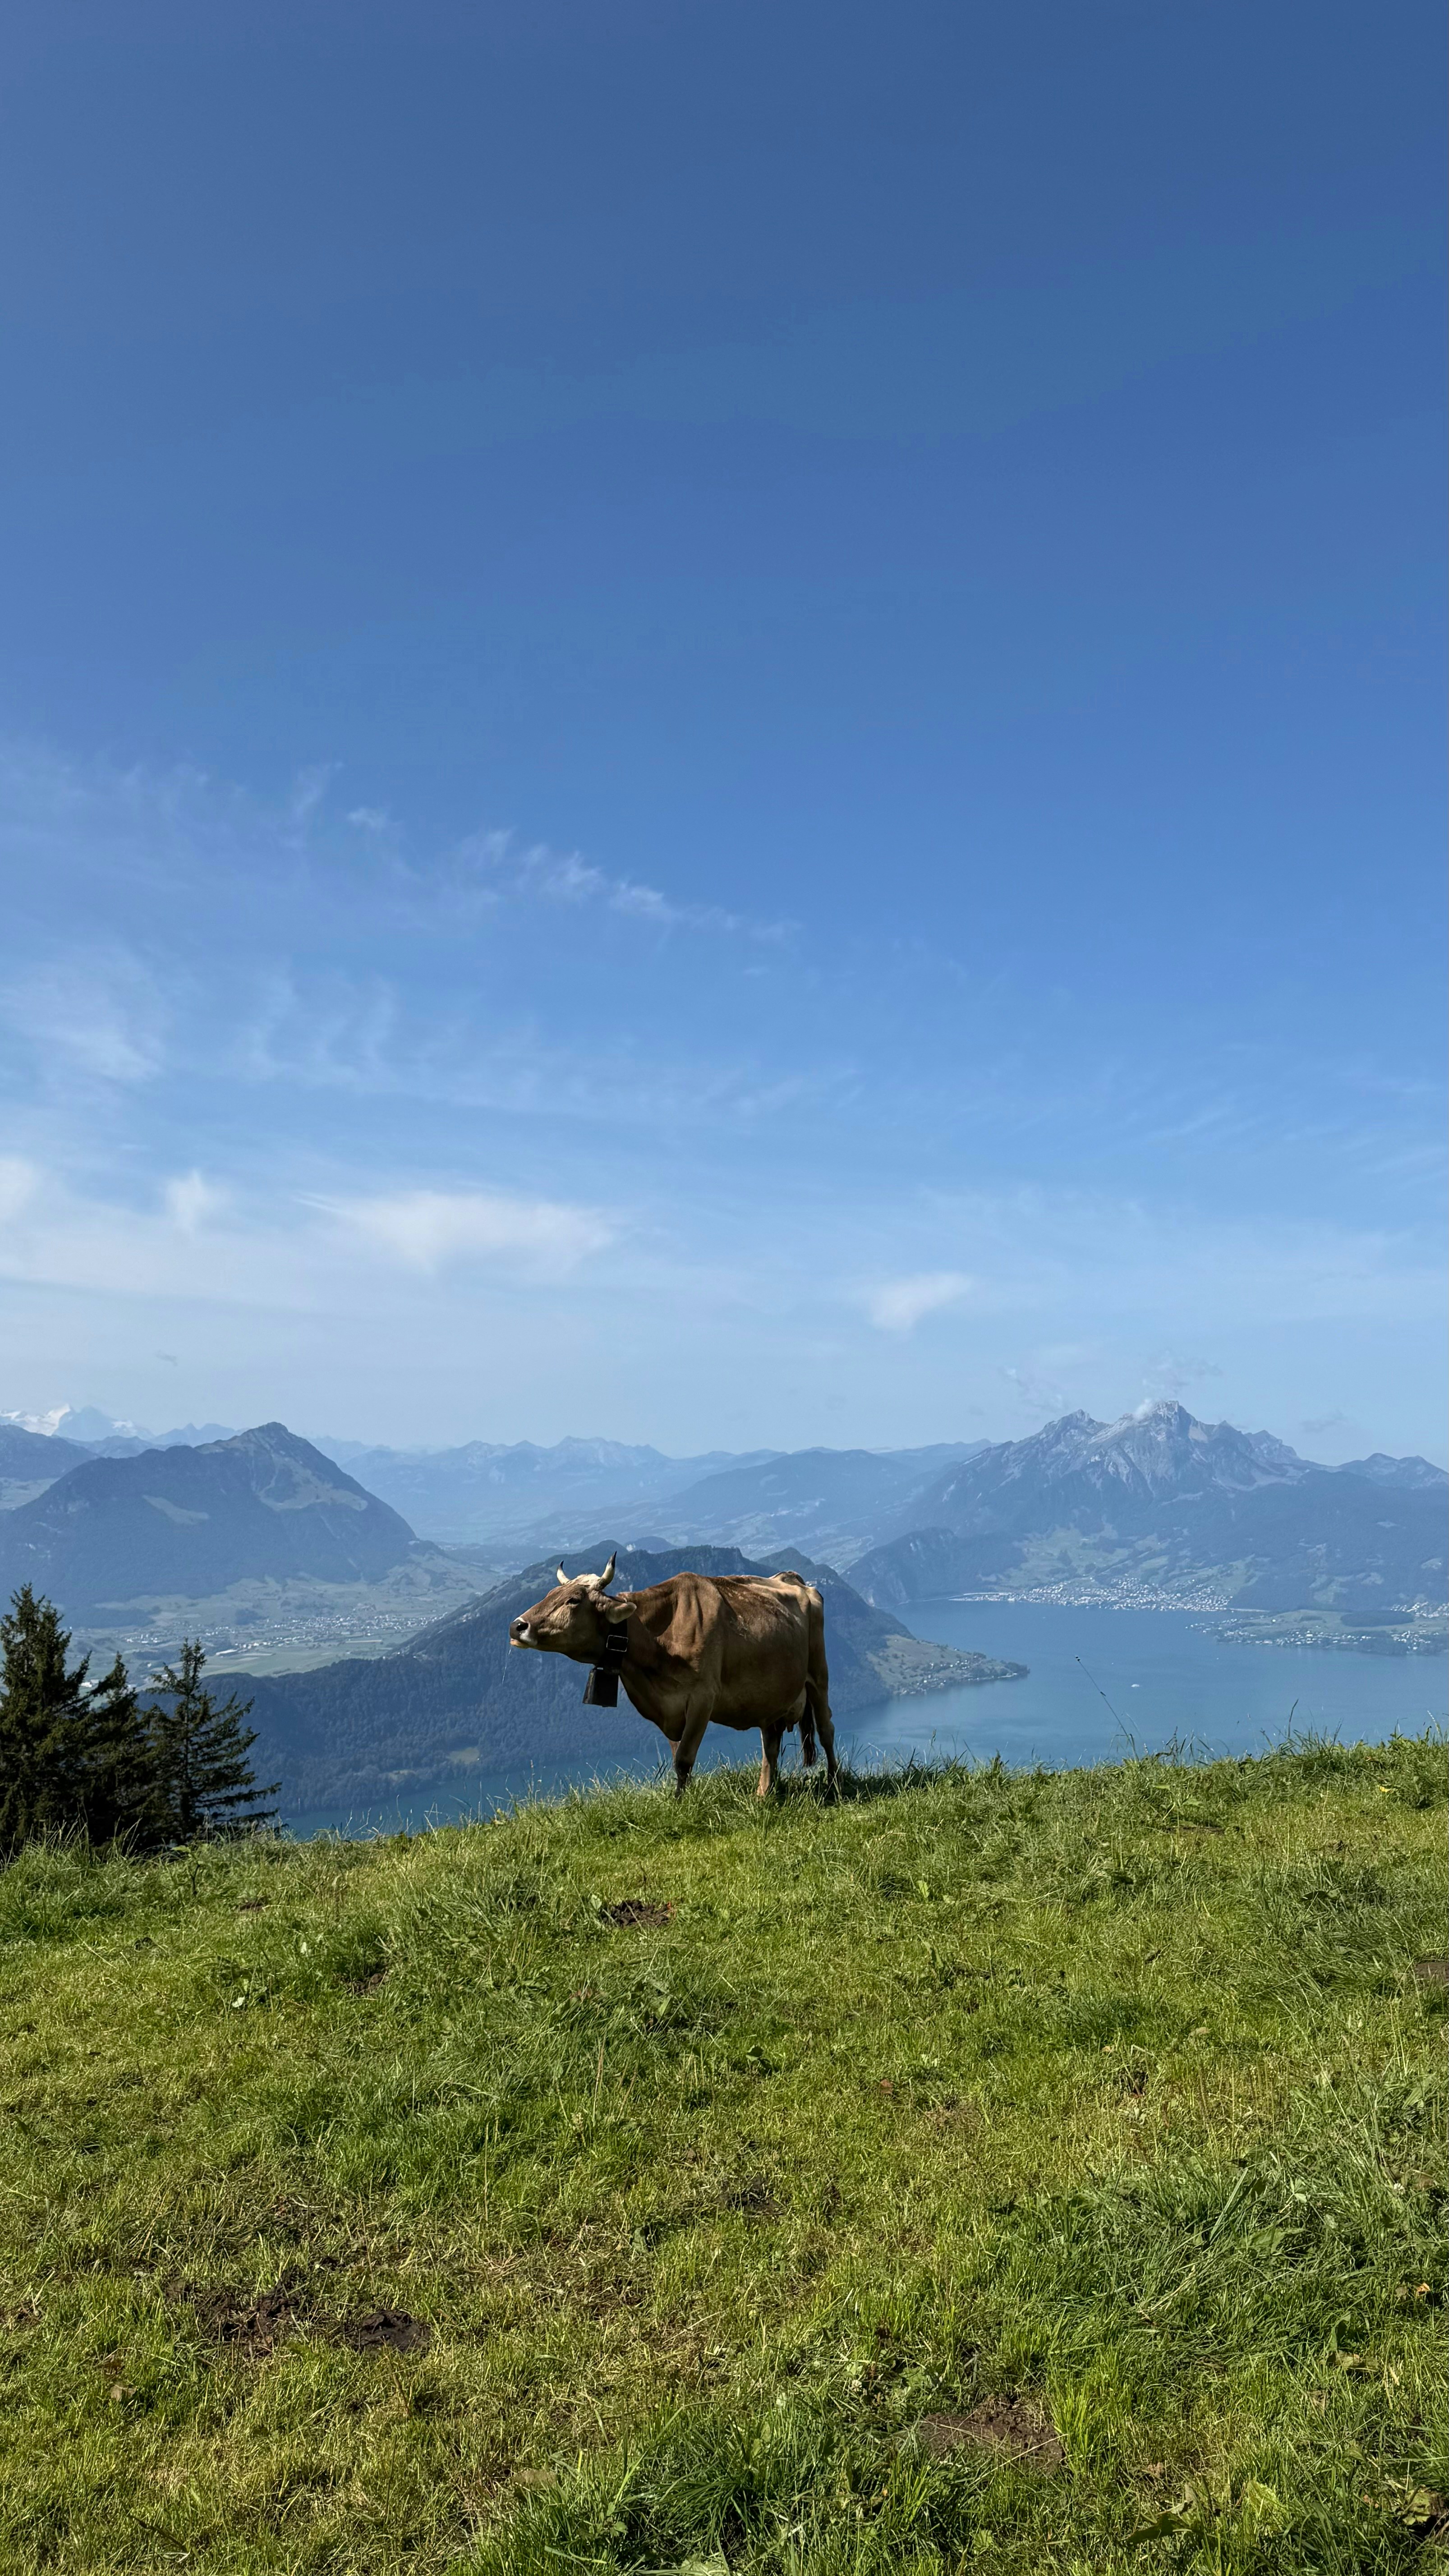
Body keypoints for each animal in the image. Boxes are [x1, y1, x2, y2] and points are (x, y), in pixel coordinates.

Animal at [509, 1552, 838, 1799]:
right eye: (551, 1594)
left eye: (574, 1600)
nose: (517, 1626)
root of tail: (792, 1580)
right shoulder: (670, 1706)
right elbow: (677, 1755)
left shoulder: (703, 1699)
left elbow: (684, 1760)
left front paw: (680, 1803)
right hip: (770, 1696)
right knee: (770, 1742)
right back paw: (763, 1794)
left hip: (819, 1676)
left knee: (826, 1730)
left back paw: (834, 1786)